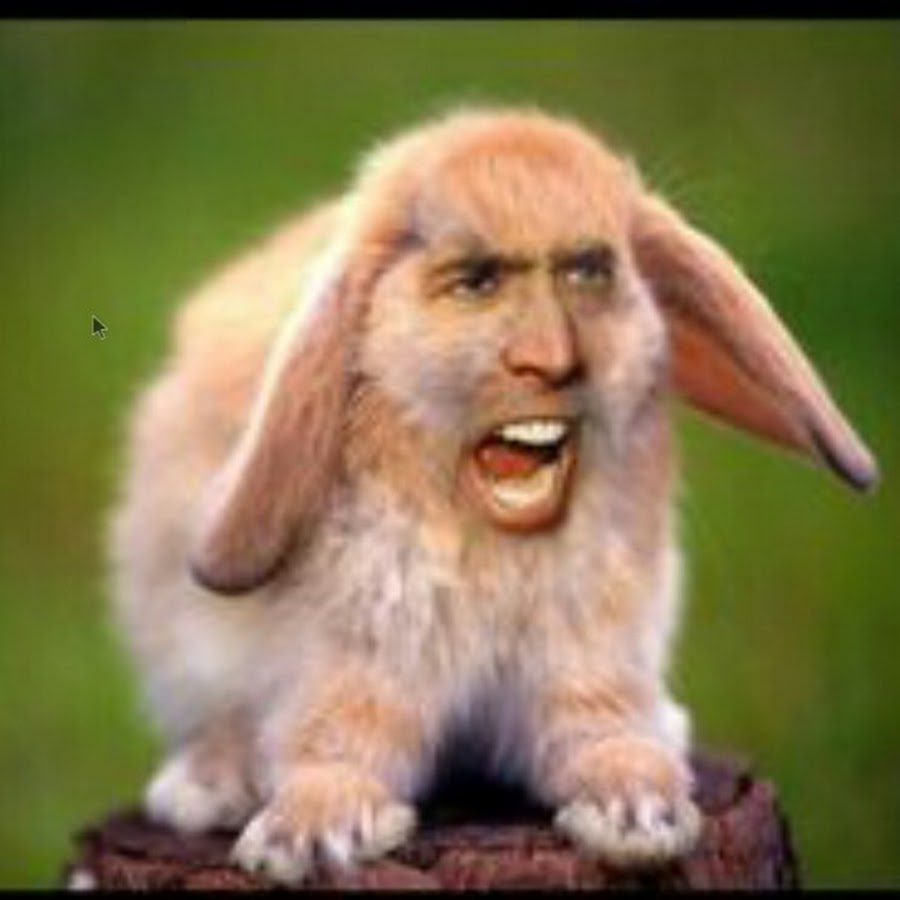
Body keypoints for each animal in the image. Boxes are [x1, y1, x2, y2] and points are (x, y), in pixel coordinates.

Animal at [108, 106, 879, 884]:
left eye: (588, 271)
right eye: (478, 281)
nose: (551, 364)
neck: (496, 537)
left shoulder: (587, 649)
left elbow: (598, 731)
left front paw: (639, 813)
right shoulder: (363, 653)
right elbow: (338, 740)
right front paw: (306, 839)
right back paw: (207, 788)